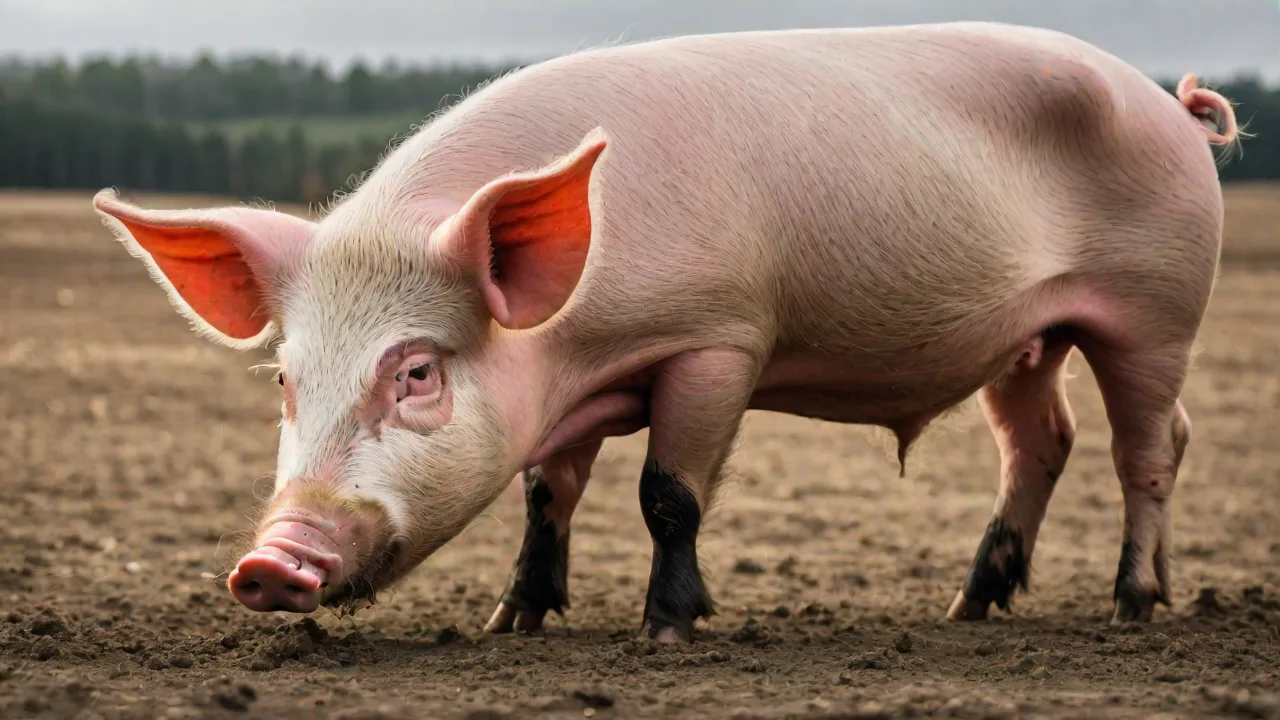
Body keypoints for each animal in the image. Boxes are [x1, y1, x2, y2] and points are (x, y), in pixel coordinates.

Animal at [92, 21, 1240, 641]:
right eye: (284, 381)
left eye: (415, 372)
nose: (269, 561)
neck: (577, 349)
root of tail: (1170, 106)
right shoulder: (560, 397)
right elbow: (544, 495)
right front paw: (511, 621)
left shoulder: (716, 339)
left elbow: (666, 494)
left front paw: (667, 626)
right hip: (1025, 334)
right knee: (1042, 439)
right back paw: (969, 607)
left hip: (1158, 305)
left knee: (1151, 443)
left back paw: (1134, 605)